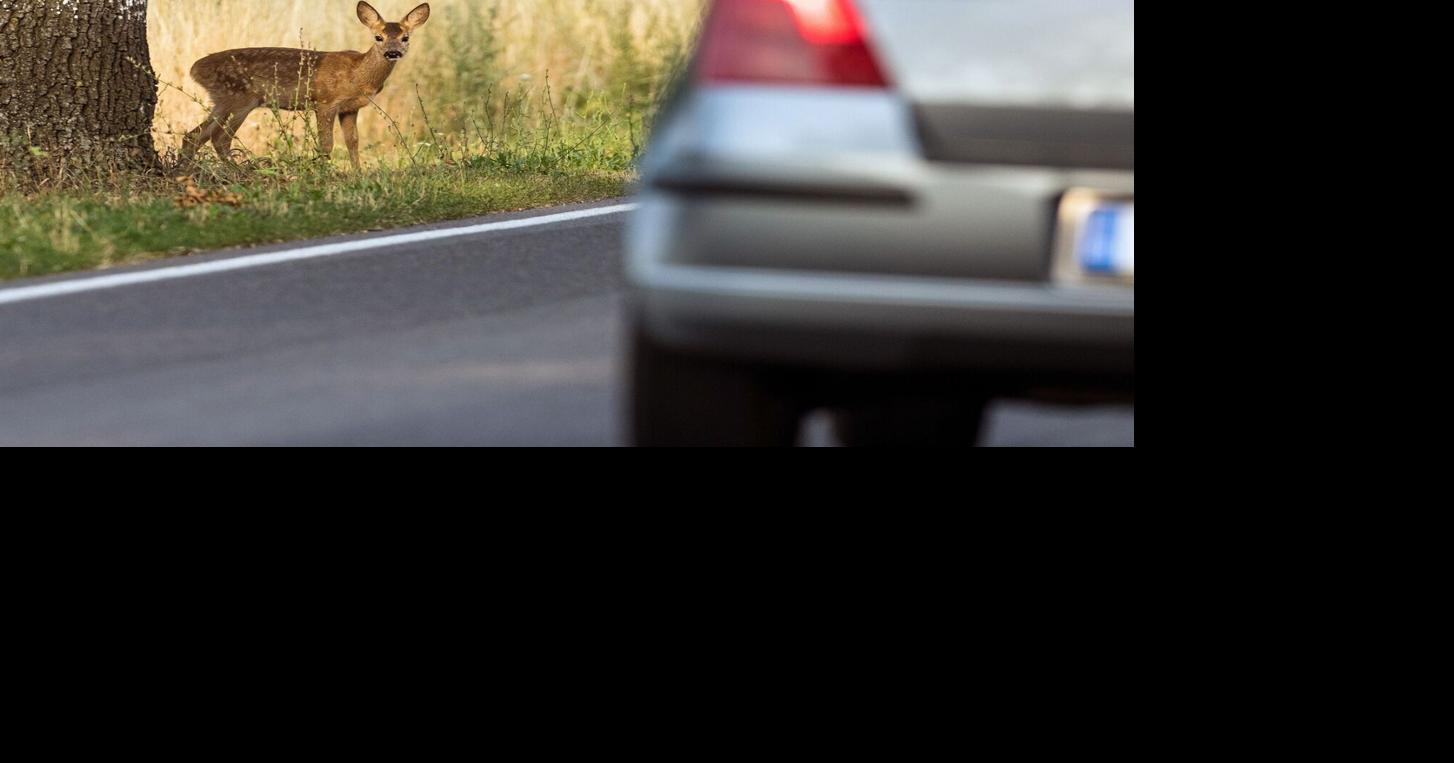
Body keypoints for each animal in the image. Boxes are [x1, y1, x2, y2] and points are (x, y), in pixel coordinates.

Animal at [180, 2, 431, 171]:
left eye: (405, 38)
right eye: (378, 37)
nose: (392, 52)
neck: (358, 74)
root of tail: (195, 68)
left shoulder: (350, 108)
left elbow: (353, 143)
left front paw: (358, 175)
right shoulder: (325, 102)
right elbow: (327, 144)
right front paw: (324, 174)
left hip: (221, 100)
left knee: (195, 136)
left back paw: (186, 171)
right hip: (241, 98)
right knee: (220, 138)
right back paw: (237, 171)